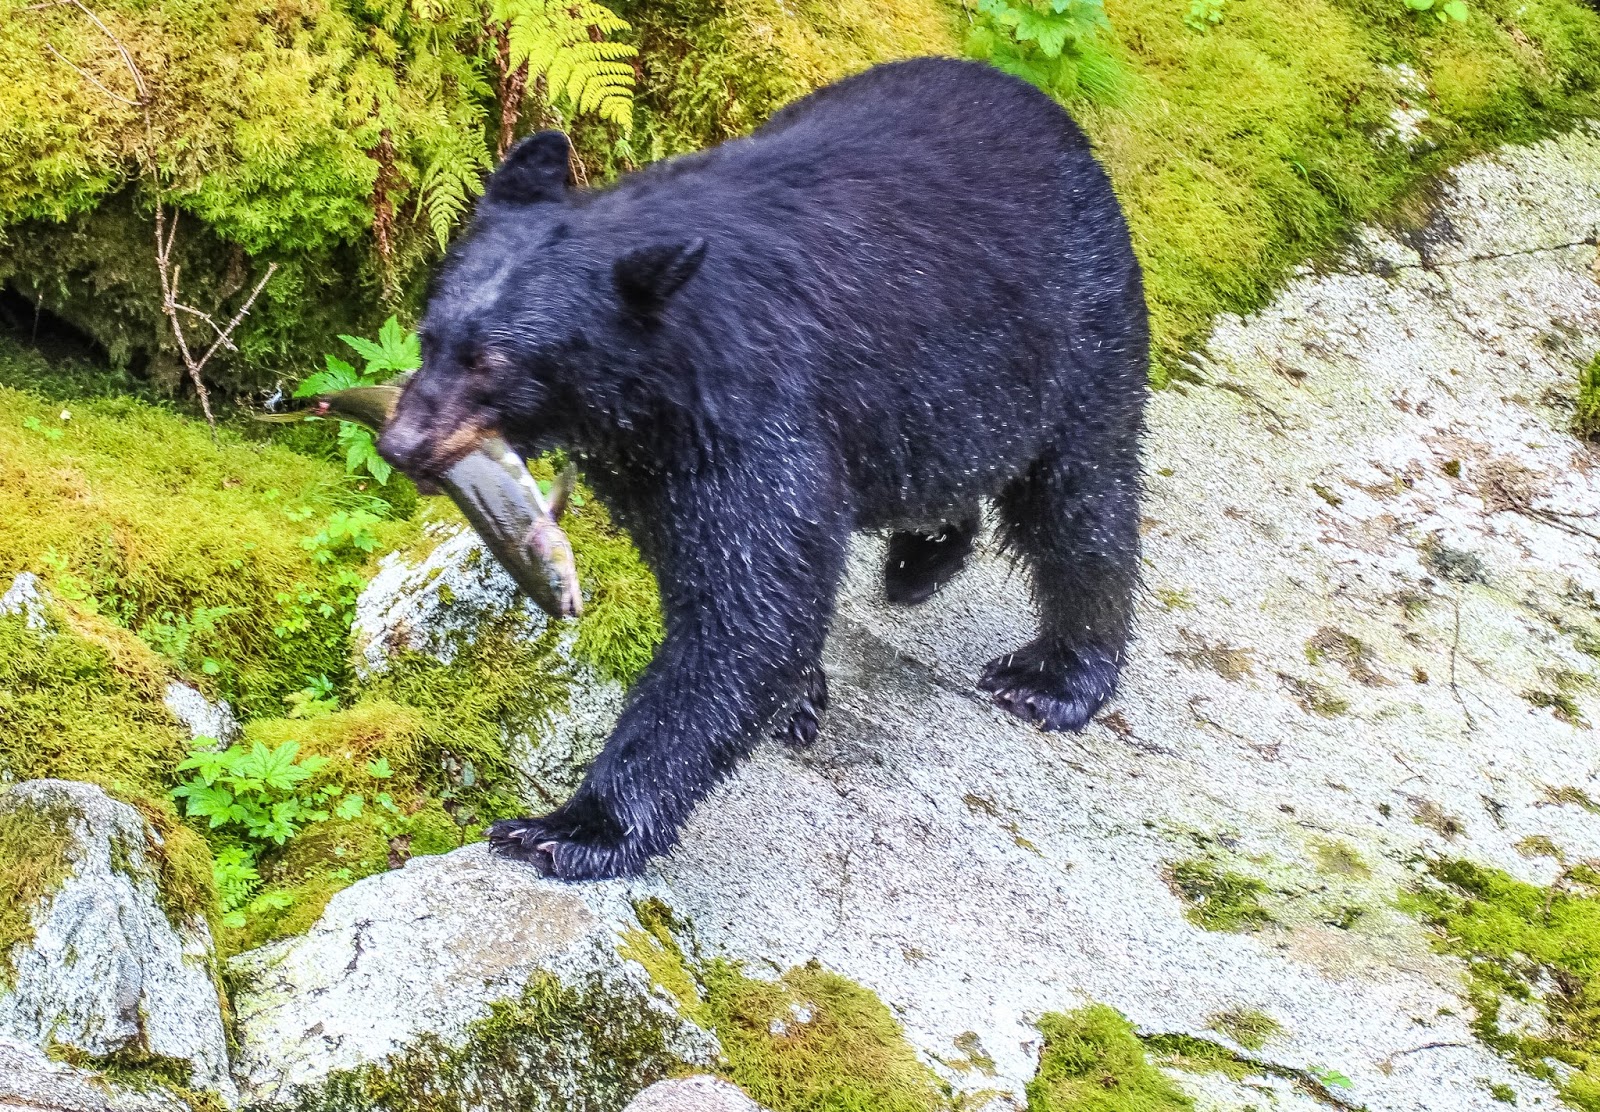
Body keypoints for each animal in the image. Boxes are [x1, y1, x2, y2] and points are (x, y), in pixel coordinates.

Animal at [377, 56, 1148, 881]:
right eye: (428, 335)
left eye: (492, 364)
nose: (402, 443)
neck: (651, 379)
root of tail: (1054, 116)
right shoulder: (647, 455)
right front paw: (801, 694)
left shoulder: (756, 407)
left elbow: (747, 613)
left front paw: (572, 827)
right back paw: (921, 562)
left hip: (1079, 331)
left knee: (1080, 502)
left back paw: (1055, 675)